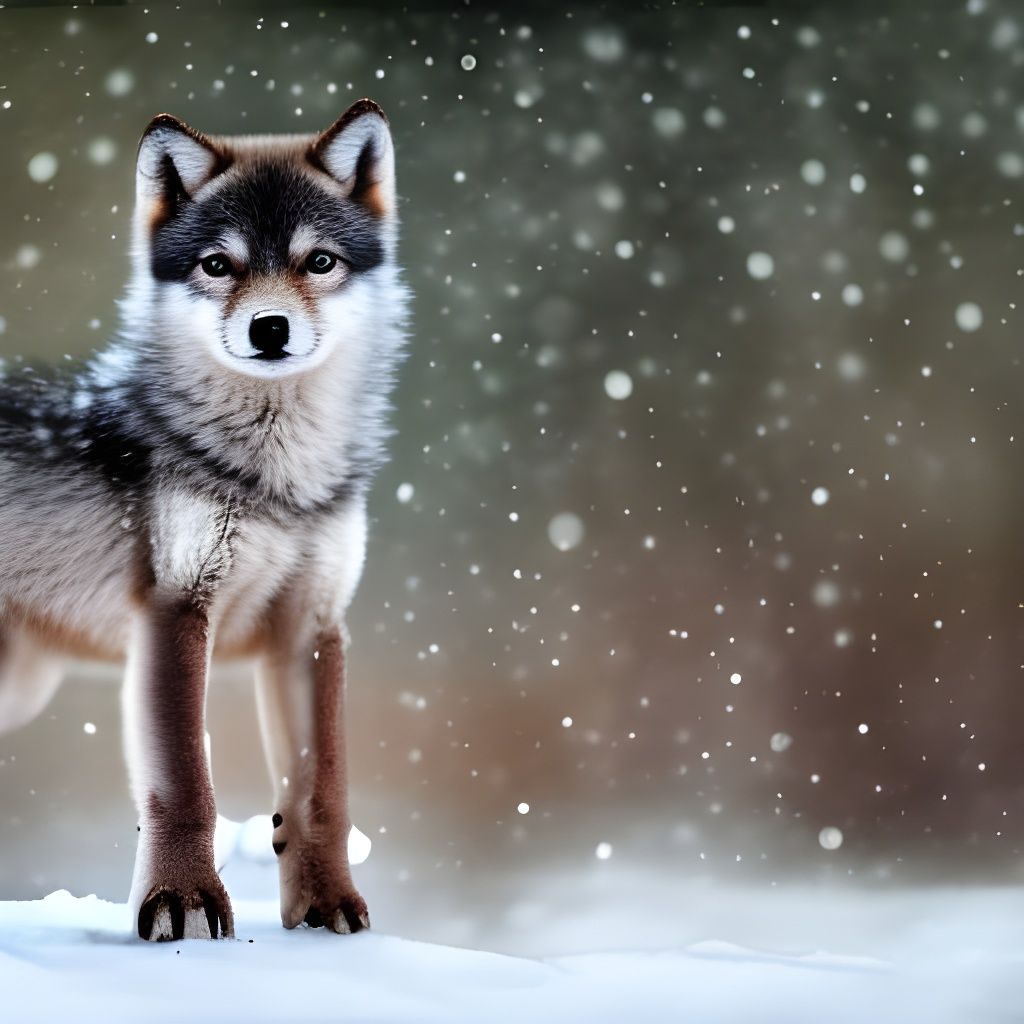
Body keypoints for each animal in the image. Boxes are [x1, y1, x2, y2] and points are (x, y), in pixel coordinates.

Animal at [0, 99, 408, 940]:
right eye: (217, 266)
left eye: (319, 262)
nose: (269, 329)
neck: (275, 481)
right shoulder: (176, 609)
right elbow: (186, 783)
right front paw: (181, 903)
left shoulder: (311, 627)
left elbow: (321, 793)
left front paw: (327, 910)